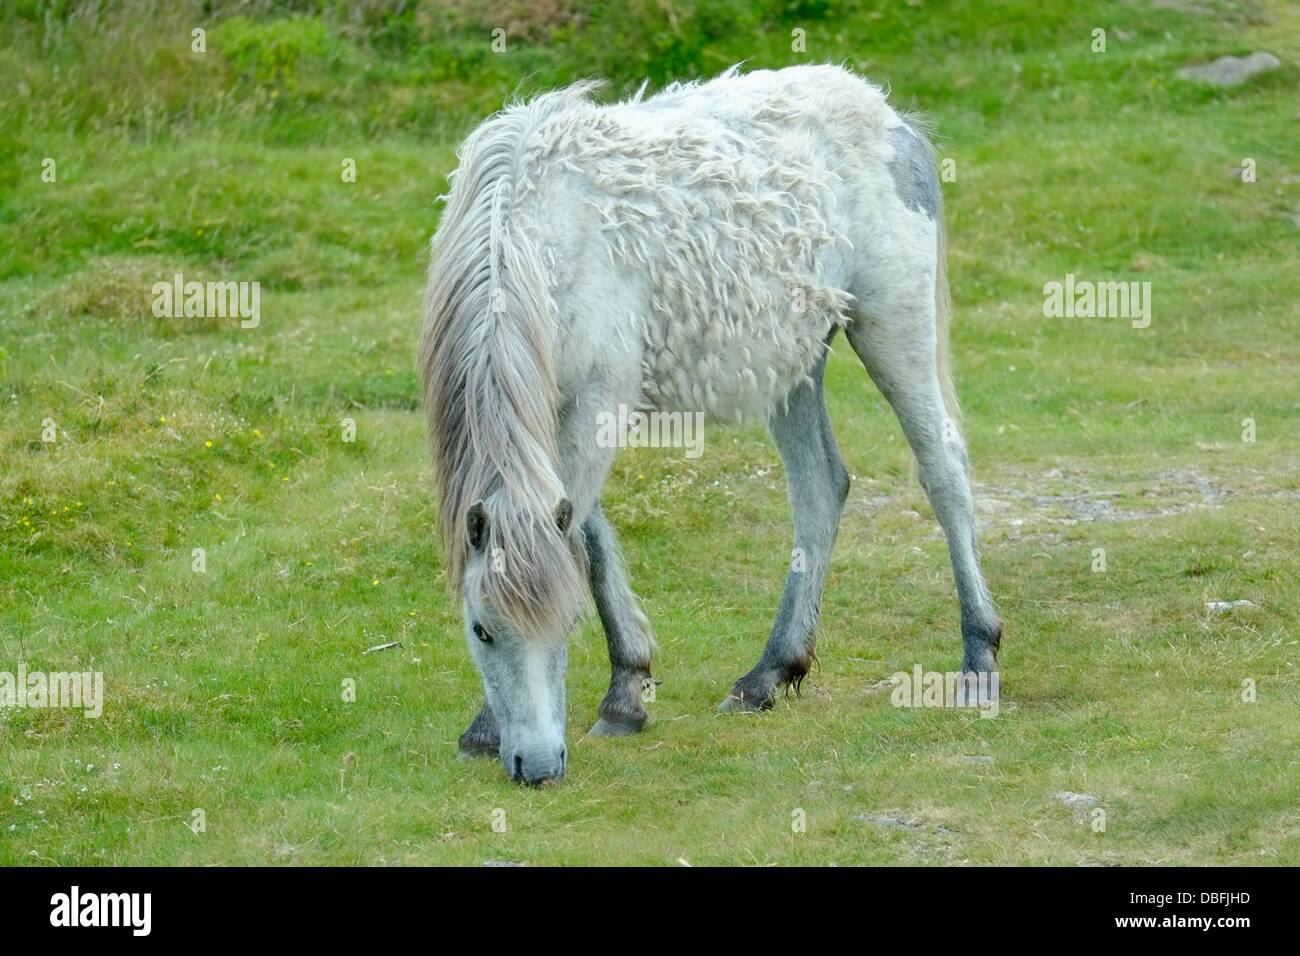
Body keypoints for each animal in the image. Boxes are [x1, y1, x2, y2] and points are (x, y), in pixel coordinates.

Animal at [419, 64, 1002, 785]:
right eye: (480, 629)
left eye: (566, 623)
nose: (538, 762)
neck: (538, 230)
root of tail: (888, 115)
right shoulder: (560, 413)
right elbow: (589, 537)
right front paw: (626, 688)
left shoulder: (598, 404)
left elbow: (578, 546)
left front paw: (605, 699)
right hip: (793, 363)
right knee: (820, 488)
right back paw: (769, 674)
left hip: (891, 329)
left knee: (943, 471)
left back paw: (978, 657)